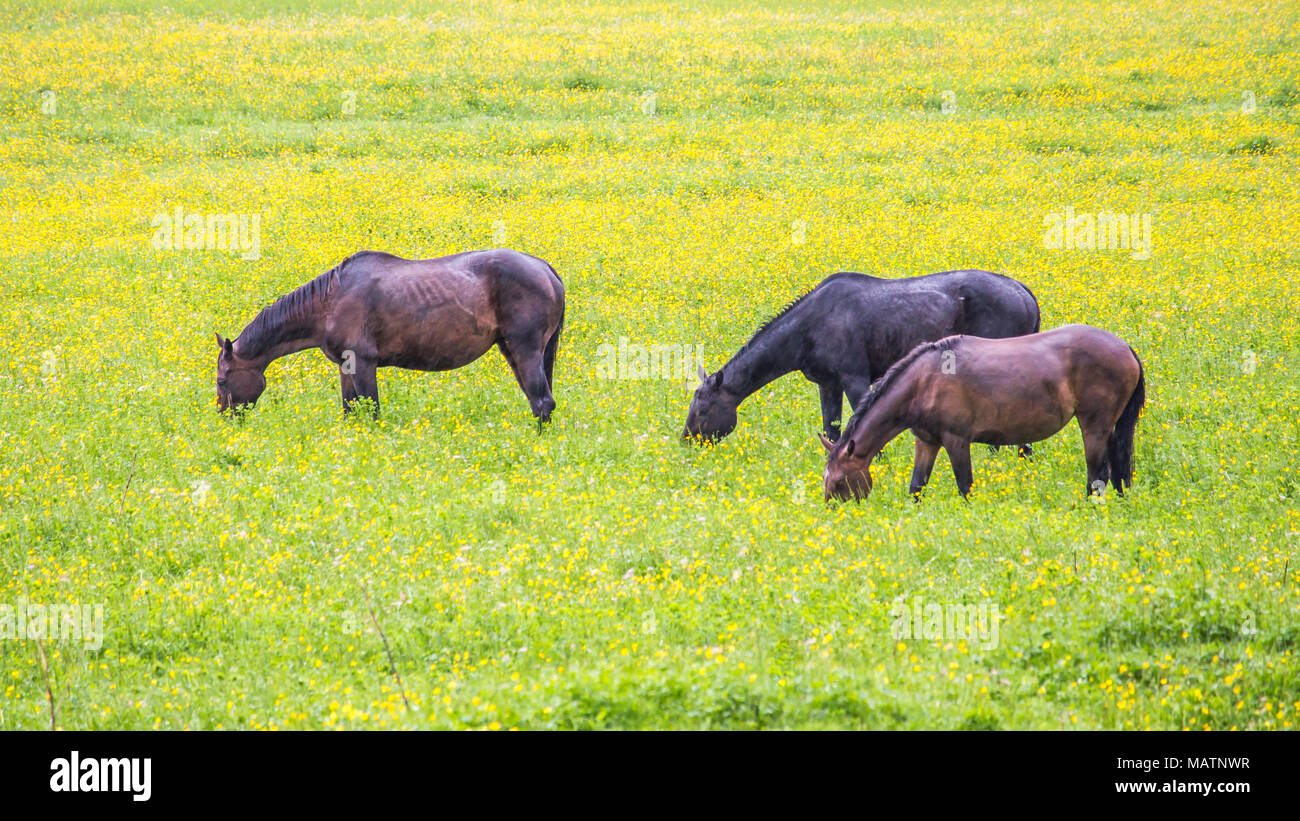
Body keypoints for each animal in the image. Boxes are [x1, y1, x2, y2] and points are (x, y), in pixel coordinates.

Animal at [215, 249, 565, 426]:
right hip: (513, 351)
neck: (331, 302)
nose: (224, 418)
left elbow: (372, 410)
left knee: (542, 401)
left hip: (525, 350)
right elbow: (350, 410)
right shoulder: (346, 368)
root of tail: (544, 268)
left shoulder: (364, 364)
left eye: (222, 379)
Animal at [683, 269, 1040, 445]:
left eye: (703, 408)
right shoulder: (827, 385)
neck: (808, 330)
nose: (687, 440)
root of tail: (1023, 291)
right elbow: (832, 428)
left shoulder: (855, 380)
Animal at [820, 324, 1145, 502]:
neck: (926, 381)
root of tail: (1125, 347)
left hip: (1094, 427)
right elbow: (916, 488)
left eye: (838, 482)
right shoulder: (927, 442)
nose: (835, 513)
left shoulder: (956, 441)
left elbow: (965, 487)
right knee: (1117, 471)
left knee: (1098, 476)